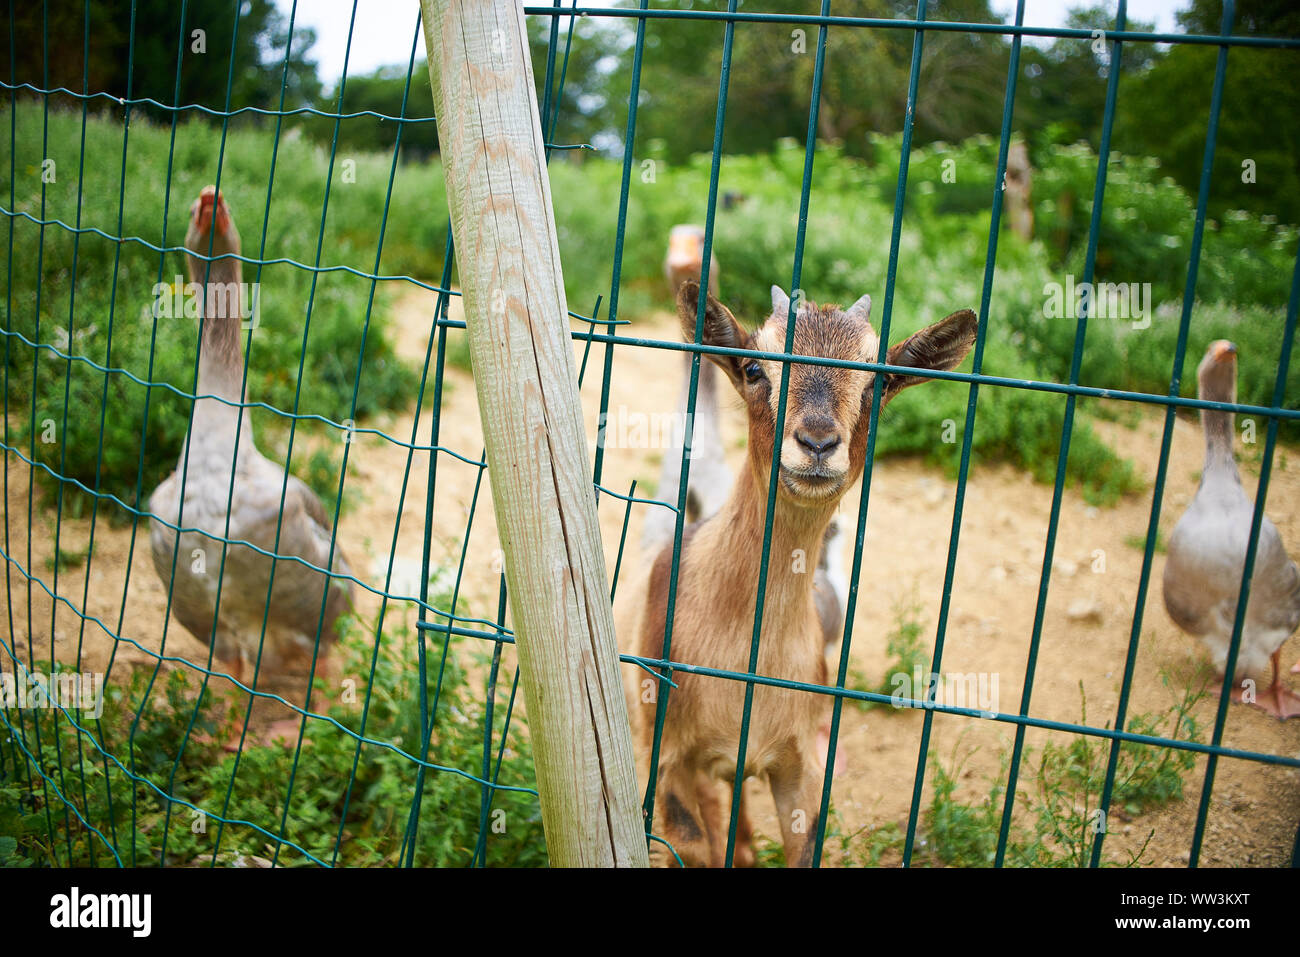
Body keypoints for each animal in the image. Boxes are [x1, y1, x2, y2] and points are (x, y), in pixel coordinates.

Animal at [618, 279, 977, 867]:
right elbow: (694, 845)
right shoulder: (665, 757)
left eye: (880, 380)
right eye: (754, 368)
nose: (817, 443)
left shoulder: (798, 765)